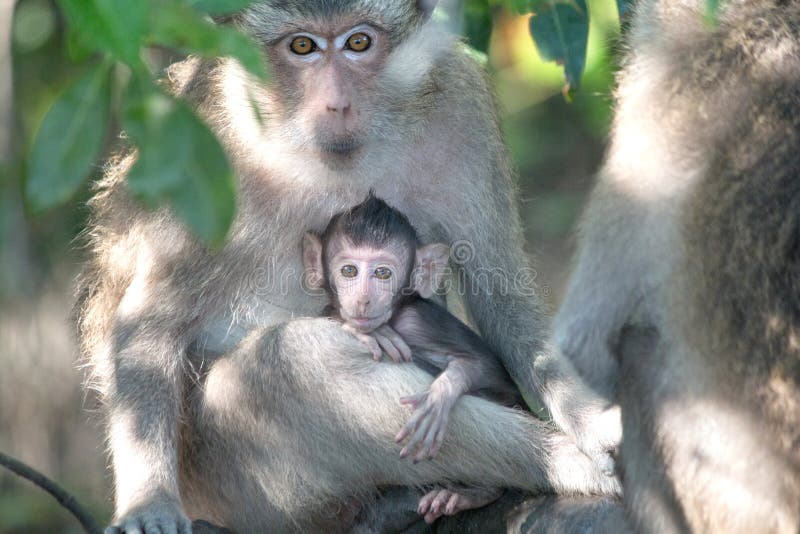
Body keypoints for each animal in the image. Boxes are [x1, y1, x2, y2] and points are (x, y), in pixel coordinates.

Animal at [76, 1, 620, 532]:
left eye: (358, 42)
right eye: (303, 46)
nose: (337, 103)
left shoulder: (459, 103)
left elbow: (502, 300)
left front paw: (594, 423)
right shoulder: (196, 150)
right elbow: (150, 323)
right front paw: (149, 501)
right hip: (235, 481)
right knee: (293, 361)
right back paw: (554, 464)